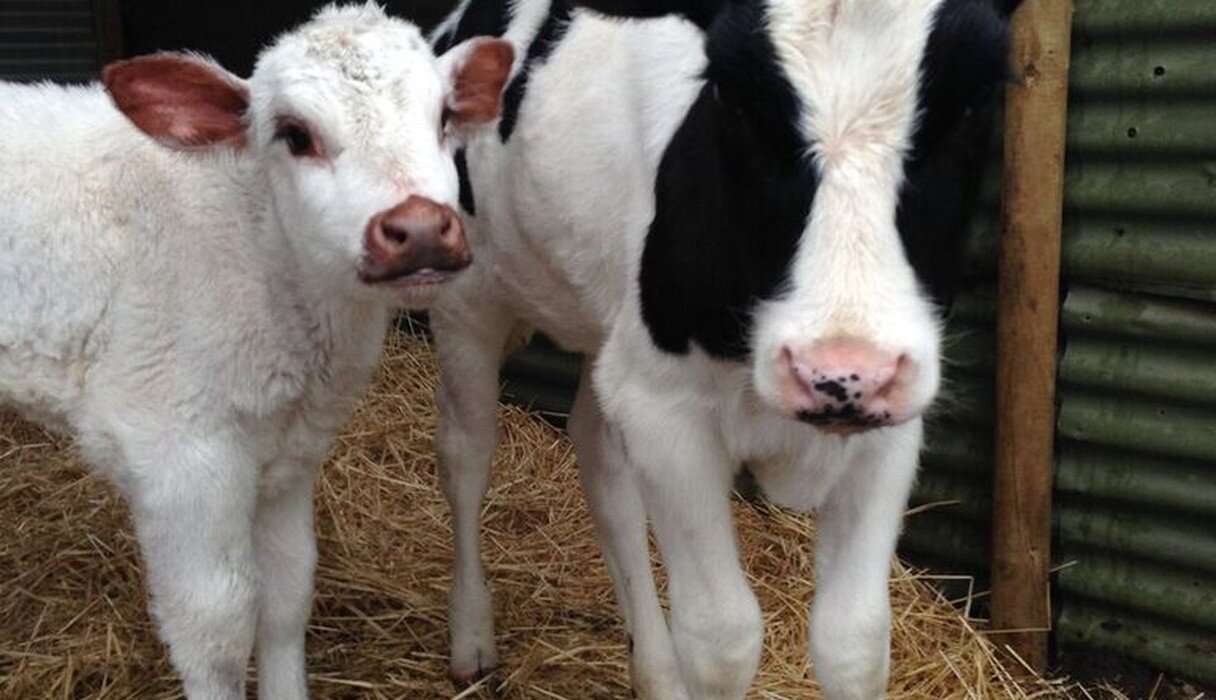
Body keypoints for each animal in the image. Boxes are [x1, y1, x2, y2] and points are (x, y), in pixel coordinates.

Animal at [0, 5, 511, 698]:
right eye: (295, 135)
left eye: (443, 118)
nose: (422, 229)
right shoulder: (178, 454)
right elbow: (215, 631)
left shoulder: (291, 452)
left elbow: (288, 596)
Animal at [427, 0, 1017, 697]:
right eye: (731, 98)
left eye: (977, 99)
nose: (842, 373)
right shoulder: (667, 415)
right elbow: (721, 639)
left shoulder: (890, 424)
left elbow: (855, 641)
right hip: (468, 302)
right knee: (466, 453)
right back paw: (470, 634)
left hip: (614, 332)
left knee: (602, 463)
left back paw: (654, 672)